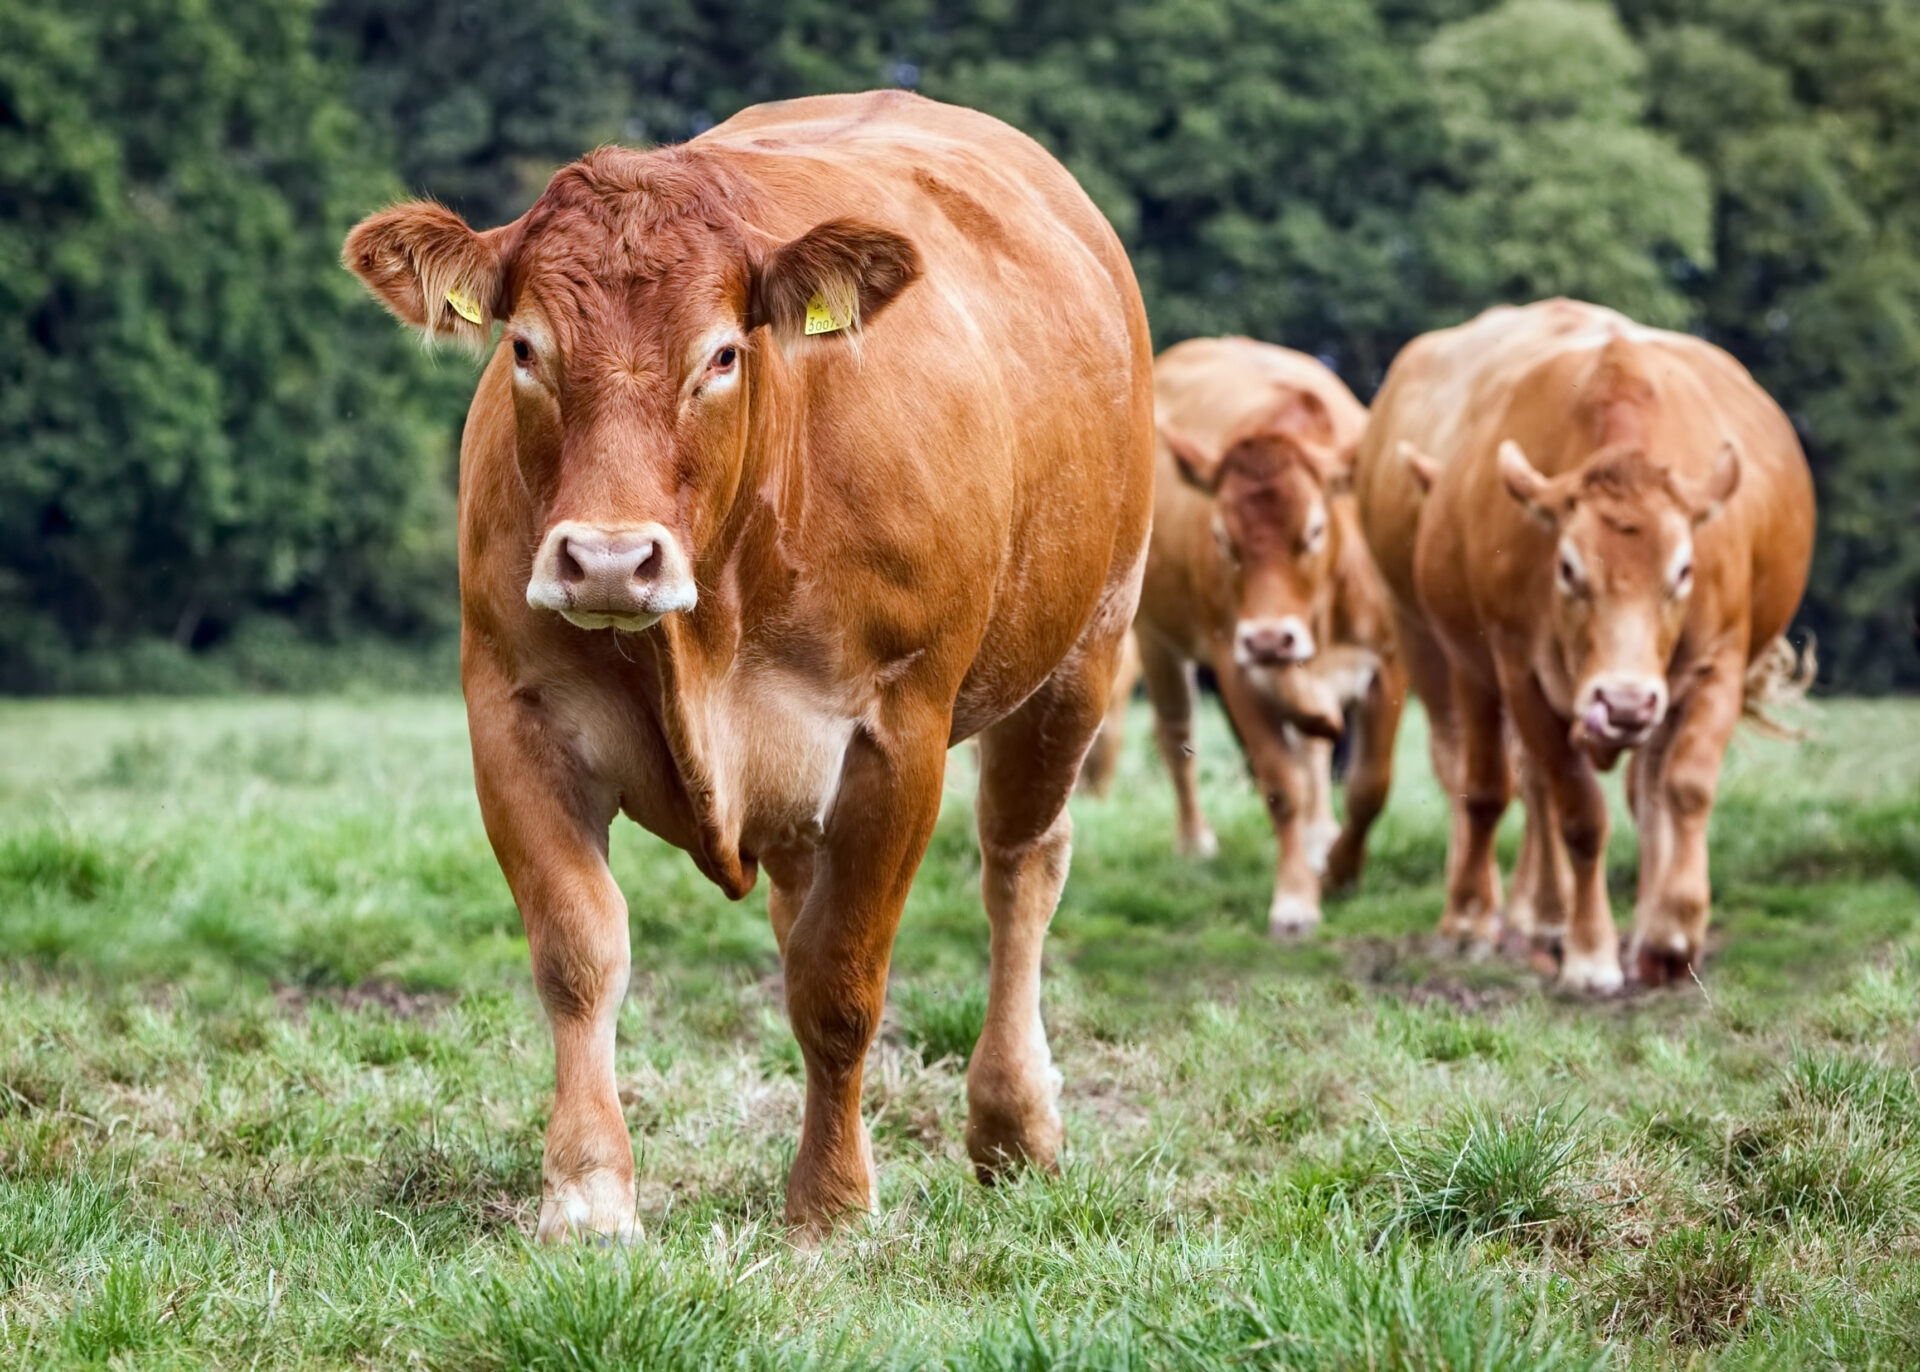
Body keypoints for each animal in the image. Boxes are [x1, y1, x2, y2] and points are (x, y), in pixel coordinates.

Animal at [341, 91, 1153, 1239]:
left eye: (722, 354)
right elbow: (580, 952)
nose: (607, 558)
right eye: (527, 349)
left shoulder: (895, 737)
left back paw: (1015, 1125)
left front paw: (832, 1204)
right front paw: (589, 1194)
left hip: (1085, 650)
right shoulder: (514, 714)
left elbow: (842, 981)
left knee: (1020, 864)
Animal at [1110, 336, 1402, 935]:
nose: (1270, 639)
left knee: (1315, 749)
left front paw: (1341, 871)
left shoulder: (1388, 662)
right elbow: (1279, 783)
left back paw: (1320, 833)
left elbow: (1368, 785)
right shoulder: (1234, 667)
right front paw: (1295, 896)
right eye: (1223, 537)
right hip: (1157, 640)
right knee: (1176, 735)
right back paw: (1195, 841)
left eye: (1314, 530)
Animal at [1354, 300, 1814, 992]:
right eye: (1568, 569)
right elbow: (1576, 813)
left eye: (1683, 569)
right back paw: (1481, 919)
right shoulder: (1519, 674)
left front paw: (1672, 932)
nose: (1623, 702)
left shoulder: (1718, 664)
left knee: (1645, 795)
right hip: (1447, 654)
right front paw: (1590, 954)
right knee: (1485, 784)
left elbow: (1685, 788)